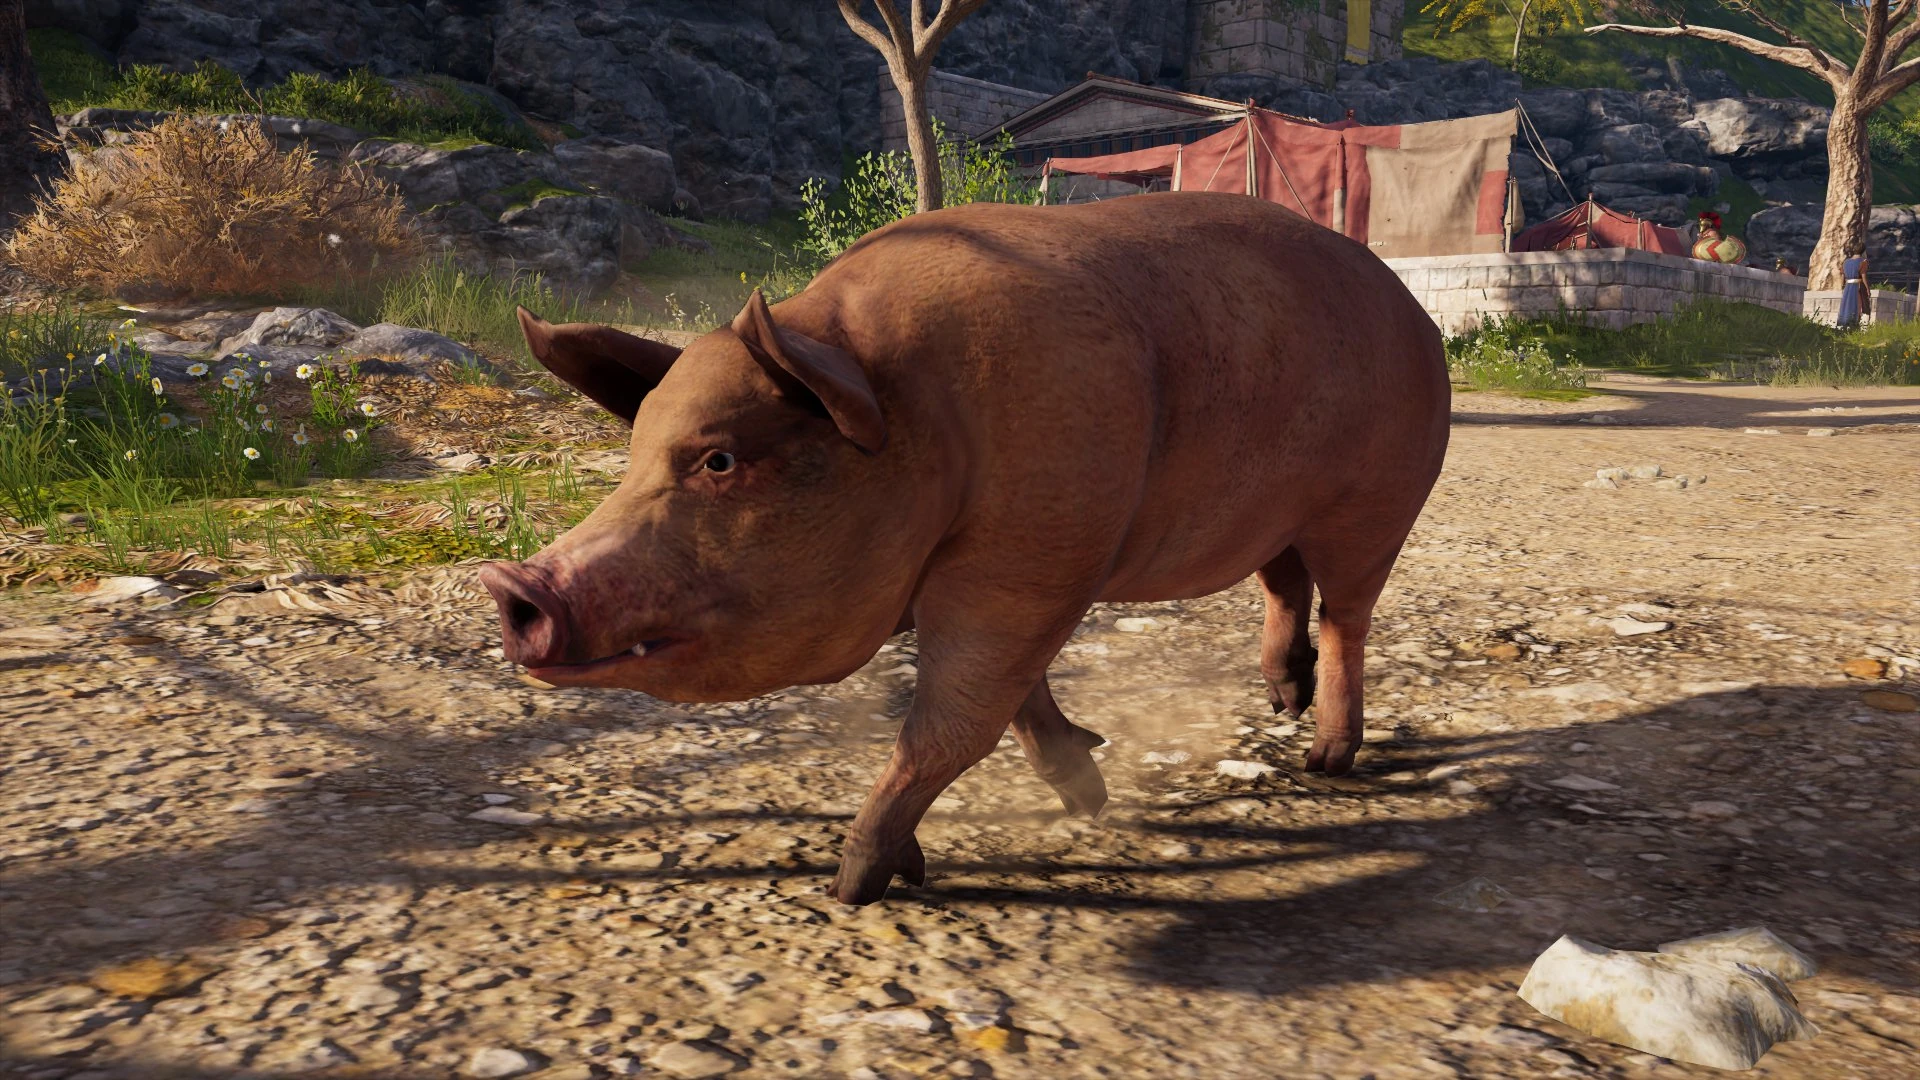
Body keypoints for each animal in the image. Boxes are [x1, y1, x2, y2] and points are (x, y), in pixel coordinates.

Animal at [480, 190, 1449, 905]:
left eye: (720, 459)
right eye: (636, 454)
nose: (512, 582)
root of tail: (1410, 306)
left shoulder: (1028, 562)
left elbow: (955, 721)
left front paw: (852, 886)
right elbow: (1016, 701)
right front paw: (1083, 791)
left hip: (1377, 498)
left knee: (1348, 615)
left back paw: (1326, 759)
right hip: (1277, 516)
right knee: (1284, 583)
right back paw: (1281, 704)